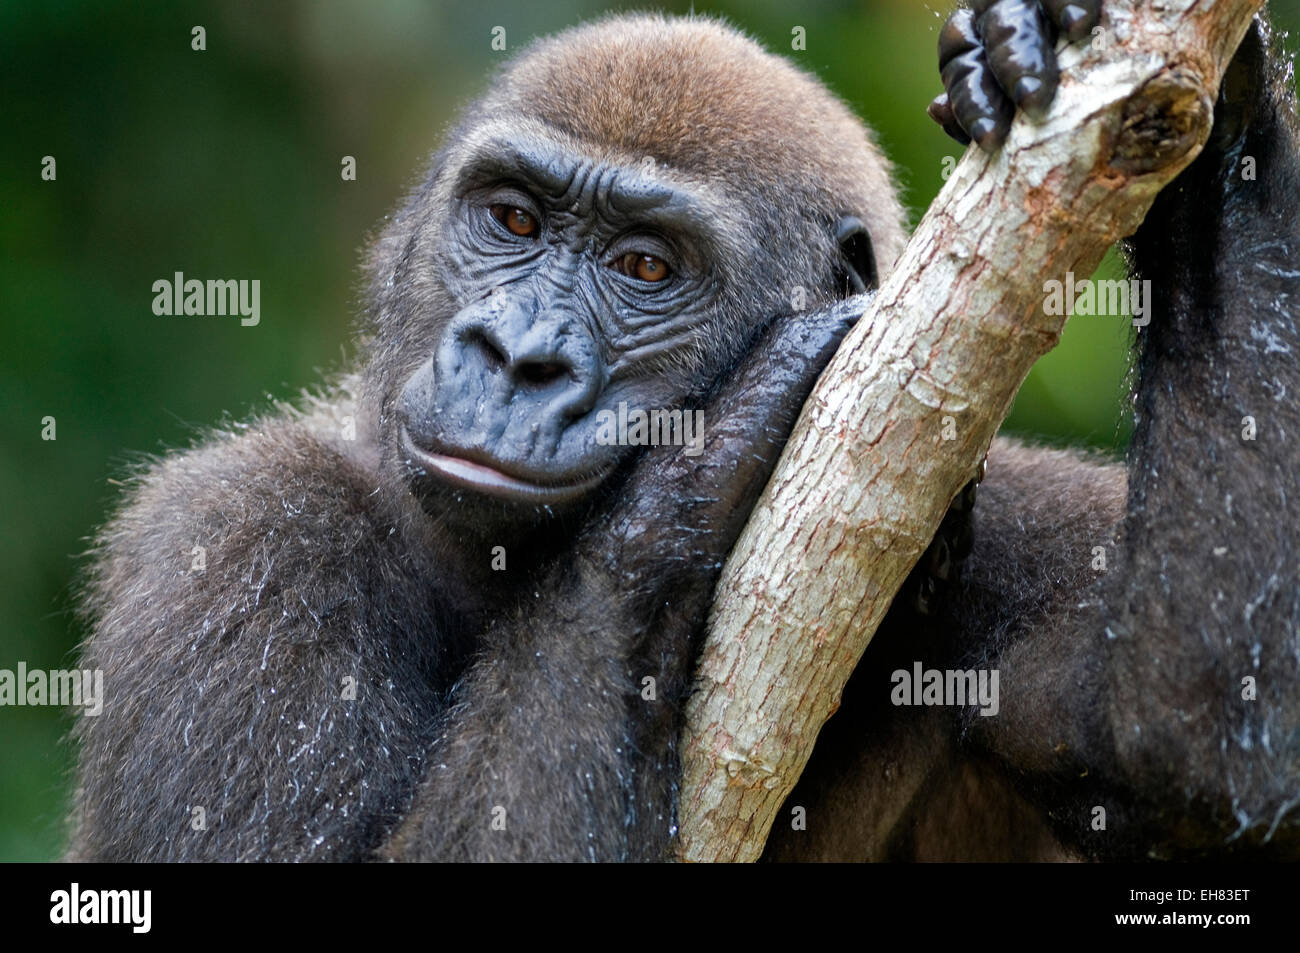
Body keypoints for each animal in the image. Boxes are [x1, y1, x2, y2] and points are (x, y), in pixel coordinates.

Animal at [66, 2, 1300, 863]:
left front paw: (1225, 114)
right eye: (510, 219)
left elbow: (1191, 743)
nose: (515, 358)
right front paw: (693, 477)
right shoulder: (235, 531)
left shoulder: (973, 504)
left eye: (645, 269)